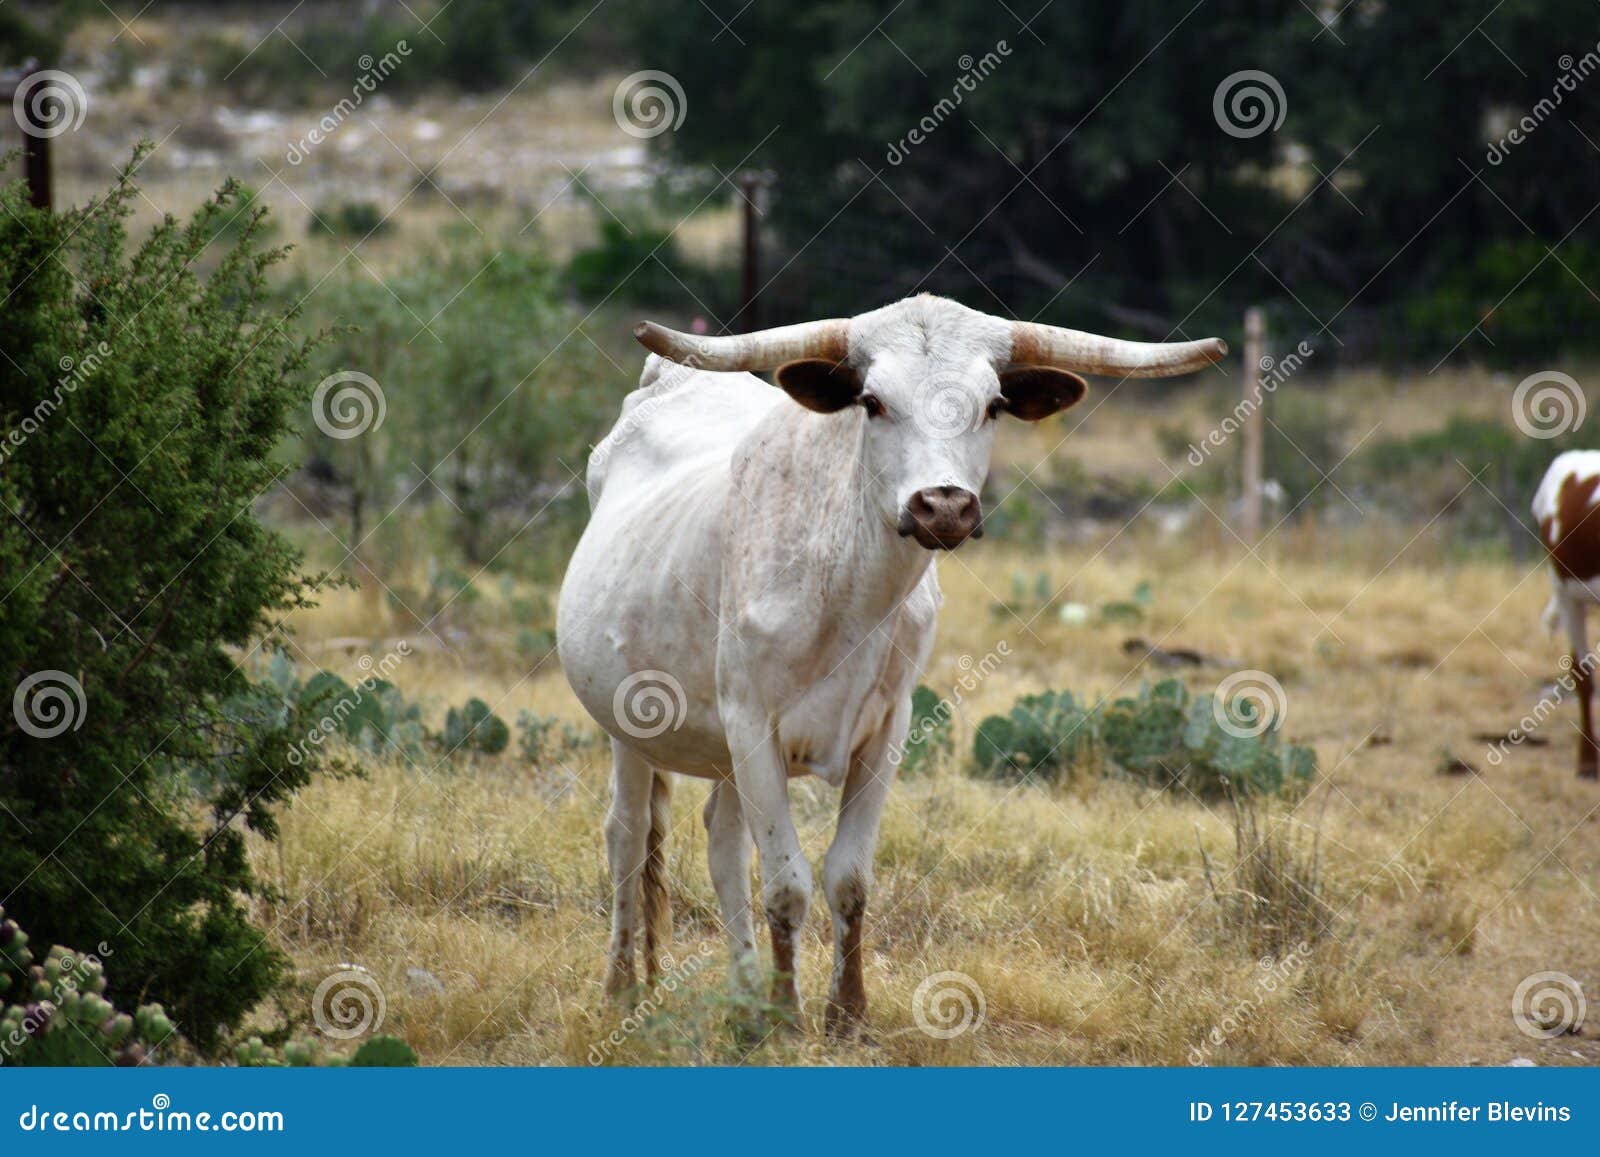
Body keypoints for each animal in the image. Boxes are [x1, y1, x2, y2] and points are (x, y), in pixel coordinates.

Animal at [555, 294, 1226, 1034]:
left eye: (993, 405)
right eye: (873, 402)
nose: (944, 506)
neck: (844, 587)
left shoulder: (888, 727)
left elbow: (848, 876)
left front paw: (845, 1011)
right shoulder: (753, 722)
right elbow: (786, 882)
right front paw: (787, 1017)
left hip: (720, 747)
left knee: (721, 843)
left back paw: (742, 996)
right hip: (631, 725)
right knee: (628, 833)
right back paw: (624, 988)